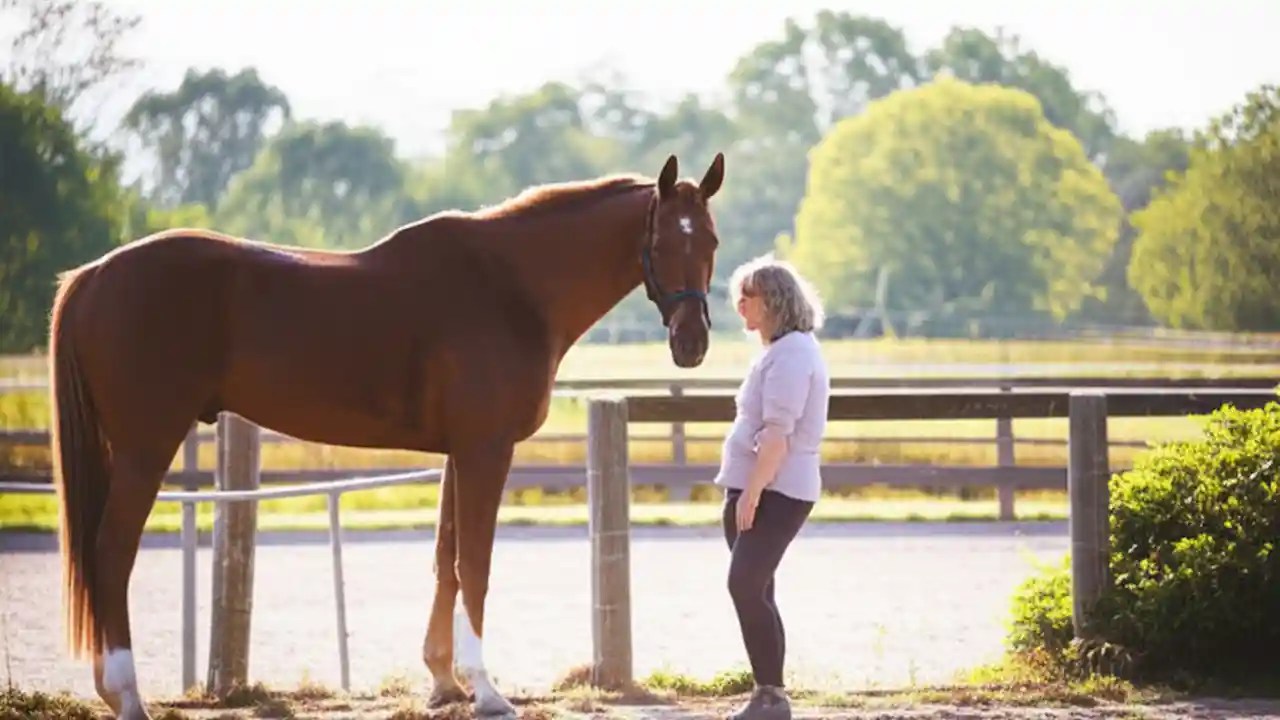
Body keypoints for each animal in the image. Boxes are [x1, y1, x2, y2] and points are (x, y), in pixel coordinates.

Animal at [46, 152, 726, 719]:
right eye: (662, 241)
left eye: (711, 240)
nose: (692, 343)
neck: (511, 286)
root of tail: (94, 274)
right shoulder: (487, 449)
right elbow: (474, 563)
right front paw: (486, 690)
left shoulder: (459, 453)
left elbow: (446, 560)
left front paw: (445, 682)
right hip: (144, 449)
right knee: (111, 552)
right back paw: (127, 695)